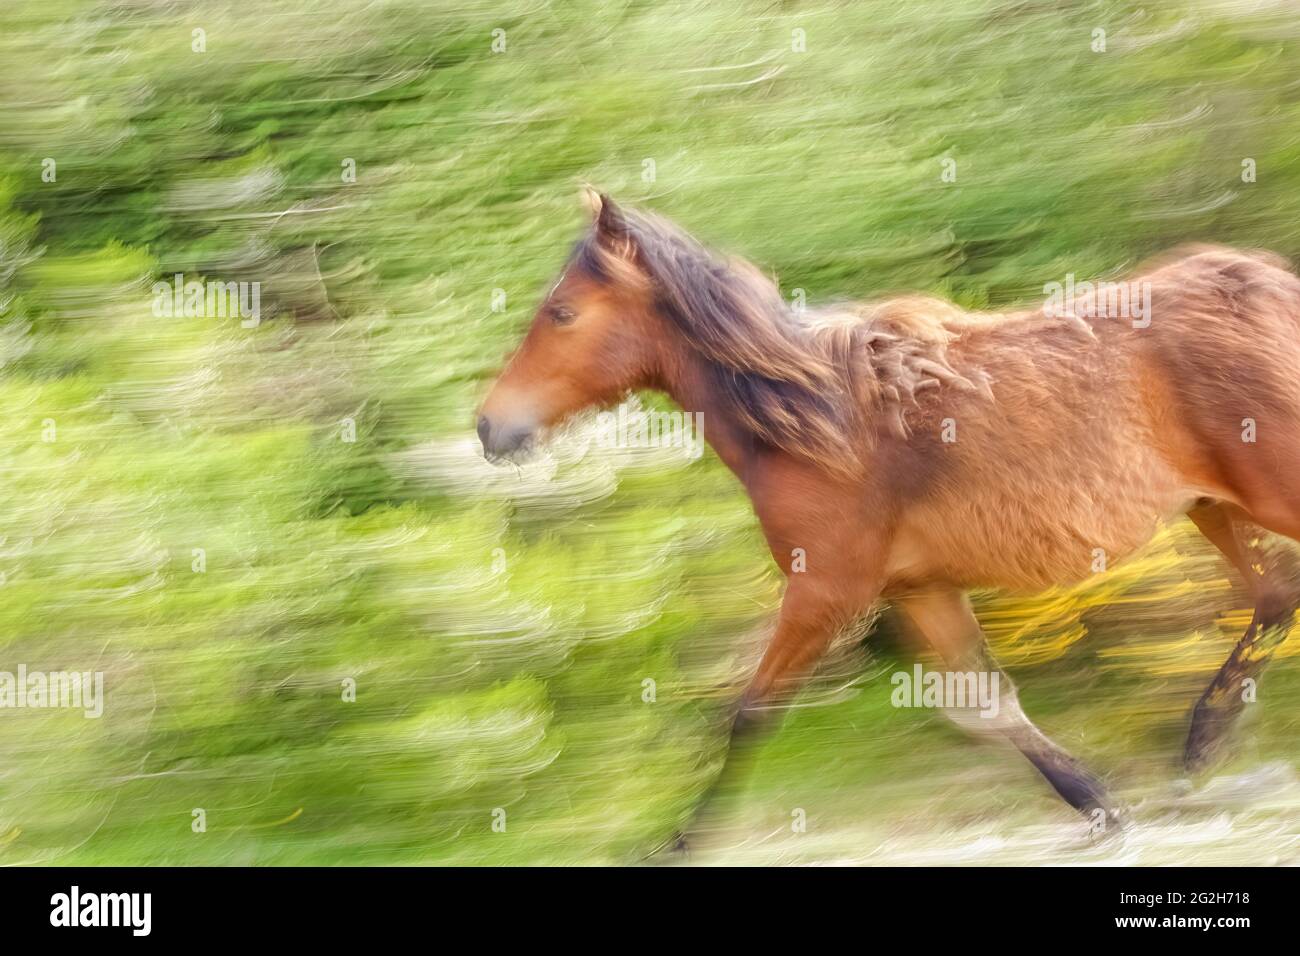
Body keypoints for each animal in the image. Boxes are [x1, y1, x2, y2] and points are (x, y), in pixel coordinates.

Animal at [478, 189, 1300, 850]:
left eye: (561, 313)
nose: (490, 427)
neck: (817, 421)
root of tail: (1271, 286)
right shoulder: (921, 590)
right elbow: (989, 706)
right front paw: (1097, 802)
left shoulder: (823, 594)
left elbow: (749, 712)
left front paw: (685, 841)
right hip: (1216, 508)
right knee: (1272, 598)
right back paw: (1199, 748)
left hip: (1266, 496)